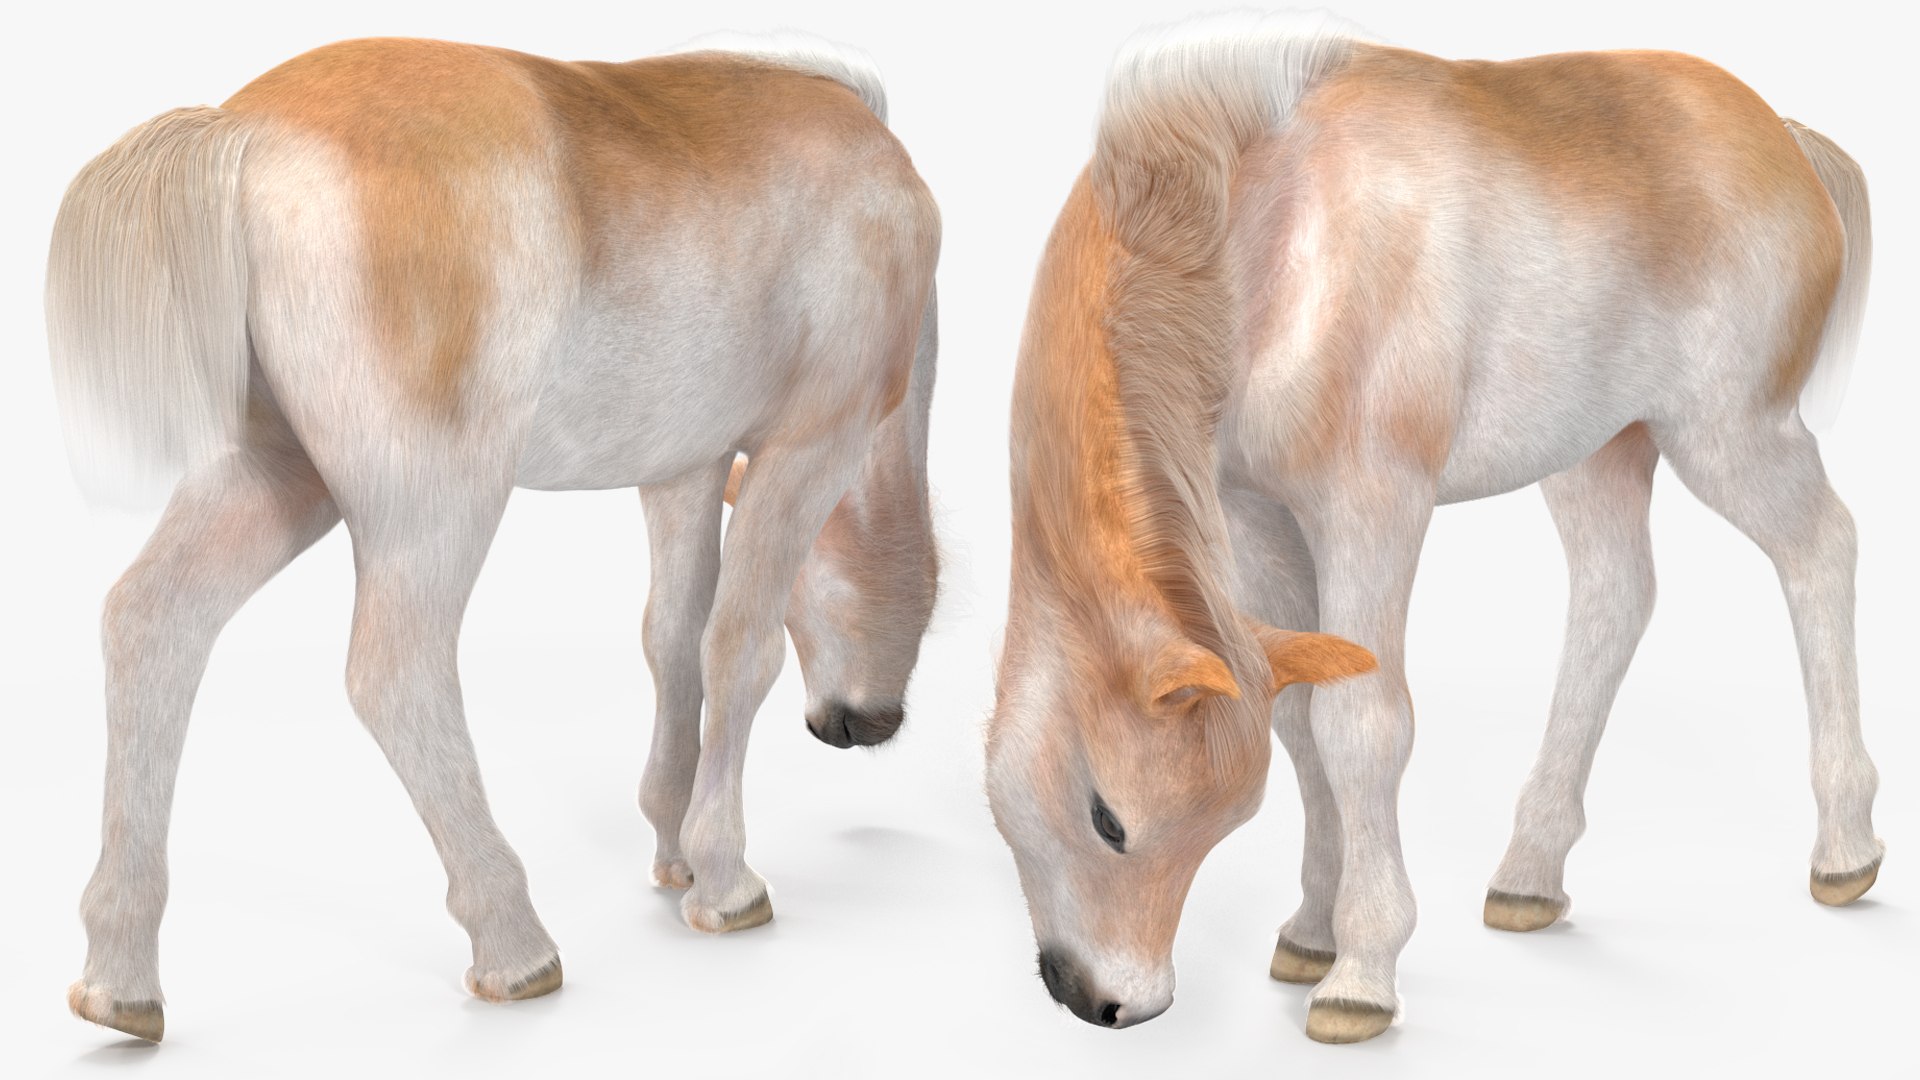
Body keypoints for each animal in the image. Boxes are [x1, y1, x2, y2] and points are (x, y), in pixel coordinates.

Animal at [48, 33, 940, 1043]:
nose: (866, 723)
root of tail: (246, 126)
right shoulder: (805, 451)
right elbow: (739, 648)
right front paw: (724, 879)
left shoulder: (684, 467)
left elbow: (672, 640)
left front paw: (672, 847)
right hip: (436, 504)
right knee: (394, 674)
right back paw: (515, 944)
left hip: (276, 481)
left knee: (150, 623)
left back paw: (119, 981)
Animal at [987, 13, 1876, 1044]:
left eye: (1109, 819)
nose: (1120, 1003)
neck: (1267, 231)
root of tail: (1786, 137)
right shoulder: (1256, 516)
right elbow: (1302, 719)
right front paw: (1311, 935)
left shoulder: (1372, 504)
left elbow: (1362, 726)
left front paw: (1360, 975)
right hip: (1598, 450)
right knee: (1617, 597)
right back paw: (1530, 877)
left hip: (1729, 435)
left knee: (1823, 547)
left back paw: (1846, 852)